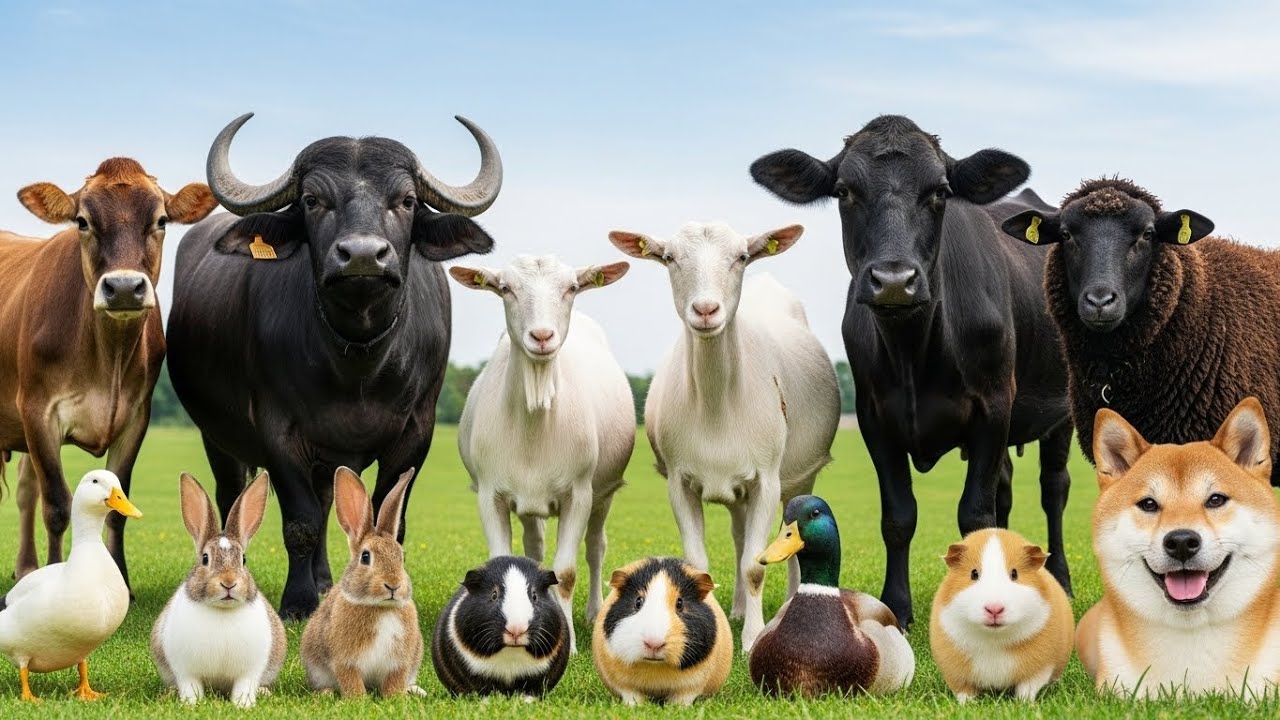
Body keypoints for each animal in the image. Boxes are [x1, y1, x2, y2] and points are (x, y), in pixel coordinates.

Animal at [0, 158, 217, 587]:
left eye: (161, 220)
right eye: (82, 221)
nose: (123, 287)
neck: (106, 359)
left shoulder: (136, 416)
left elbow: (118, 504)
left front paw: (122, 582)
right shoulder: (38, 412)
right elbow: (56, 505)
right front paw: (56, 574)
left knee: (25, 488)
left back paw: (26, 567)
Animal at [167, 114, 502, 619]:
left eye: (406, 200)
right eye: (312, 200)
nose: (362, 255)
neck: (357, 363)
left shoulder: (416, 432)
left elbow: (384, 520)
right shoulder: (279, 431)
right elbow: (300, 523)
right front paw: (298, 600)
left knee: (328, 503)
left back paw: (327, 580)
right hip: (217, 436)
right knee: (231, 496)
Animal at [447, 255, 636, 652]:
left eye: (572, 288)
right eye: (506, 288)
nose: (542, 336)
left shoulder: (578, 493)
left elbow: (566, 572)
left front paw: (570, 643)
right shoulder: (491, 493)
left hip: (604, 492)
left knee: (596, 546)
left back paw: (594, 611)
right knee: (533, 546)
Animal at [609, 221, 841, 652]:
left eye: (742, 257)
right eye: (669, 257)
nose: (705, 310)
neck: (717, 409)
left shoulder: (767, 477)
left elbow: (755, 564)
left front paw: (751, 639)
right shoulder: (679, 480)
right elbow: (700, 563)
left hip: (800, 475)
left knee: (790, 546)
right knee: (738, 535)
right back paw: (736, 609)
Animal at [749, 115, 1073, 629]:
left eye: (940, 190)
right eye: (843, 190)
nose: (894, 281)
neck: (913, 350)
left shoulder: (993, 407)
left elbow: (973, 514)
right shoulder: (873, 416)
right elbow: (899, 516)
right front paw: (897, 606)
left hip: (1063, 409)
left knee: (1053, 488)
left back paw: (1059, 577)